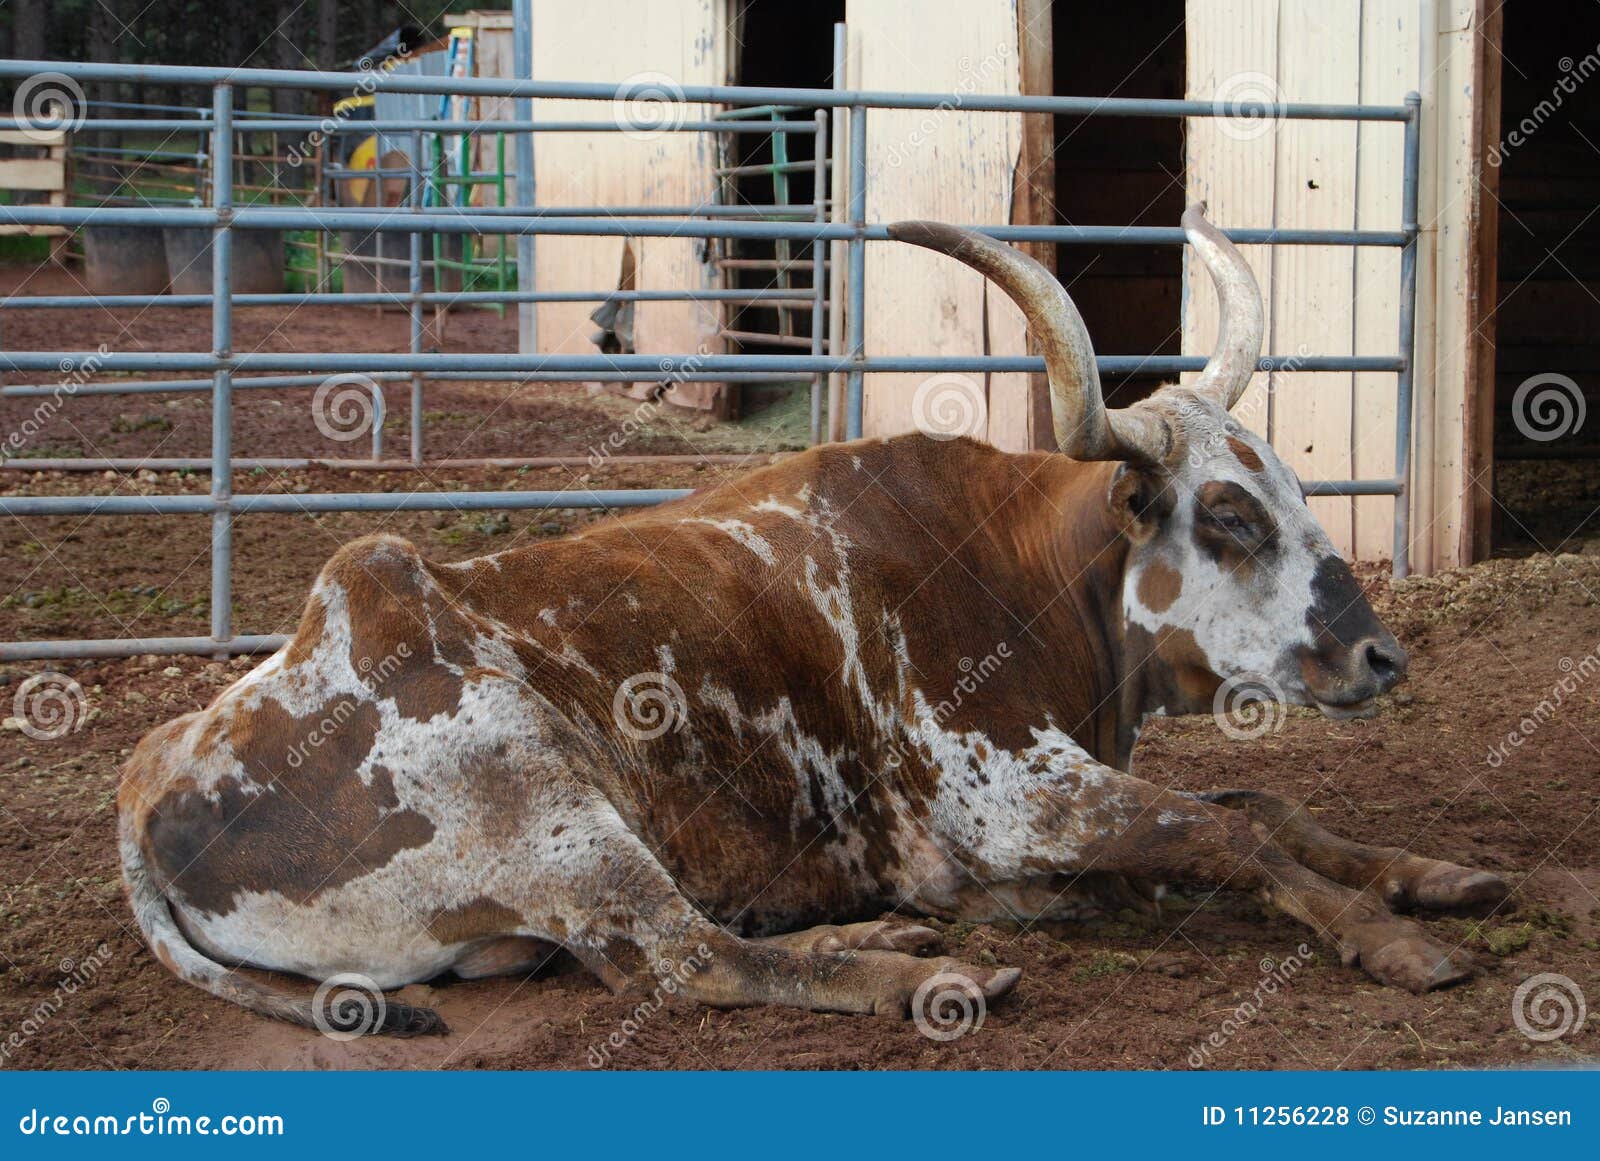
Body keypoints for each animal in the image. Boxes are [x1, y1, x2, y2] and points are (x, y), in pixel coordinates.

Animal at [118, 206, 1507, 1037]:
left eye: (1294, 488)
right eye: (1225, 514)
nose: (1380, 653)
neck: (1025, 573)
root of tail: (154, 773)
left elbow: (1259, 807)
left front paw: (1426, 873)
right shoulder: (1016, 802)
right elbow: (1229, 835)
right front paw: (1390, 941)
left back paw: (886, 926)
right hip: (553, 807)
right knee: (684, 959)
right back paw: (927, 970)